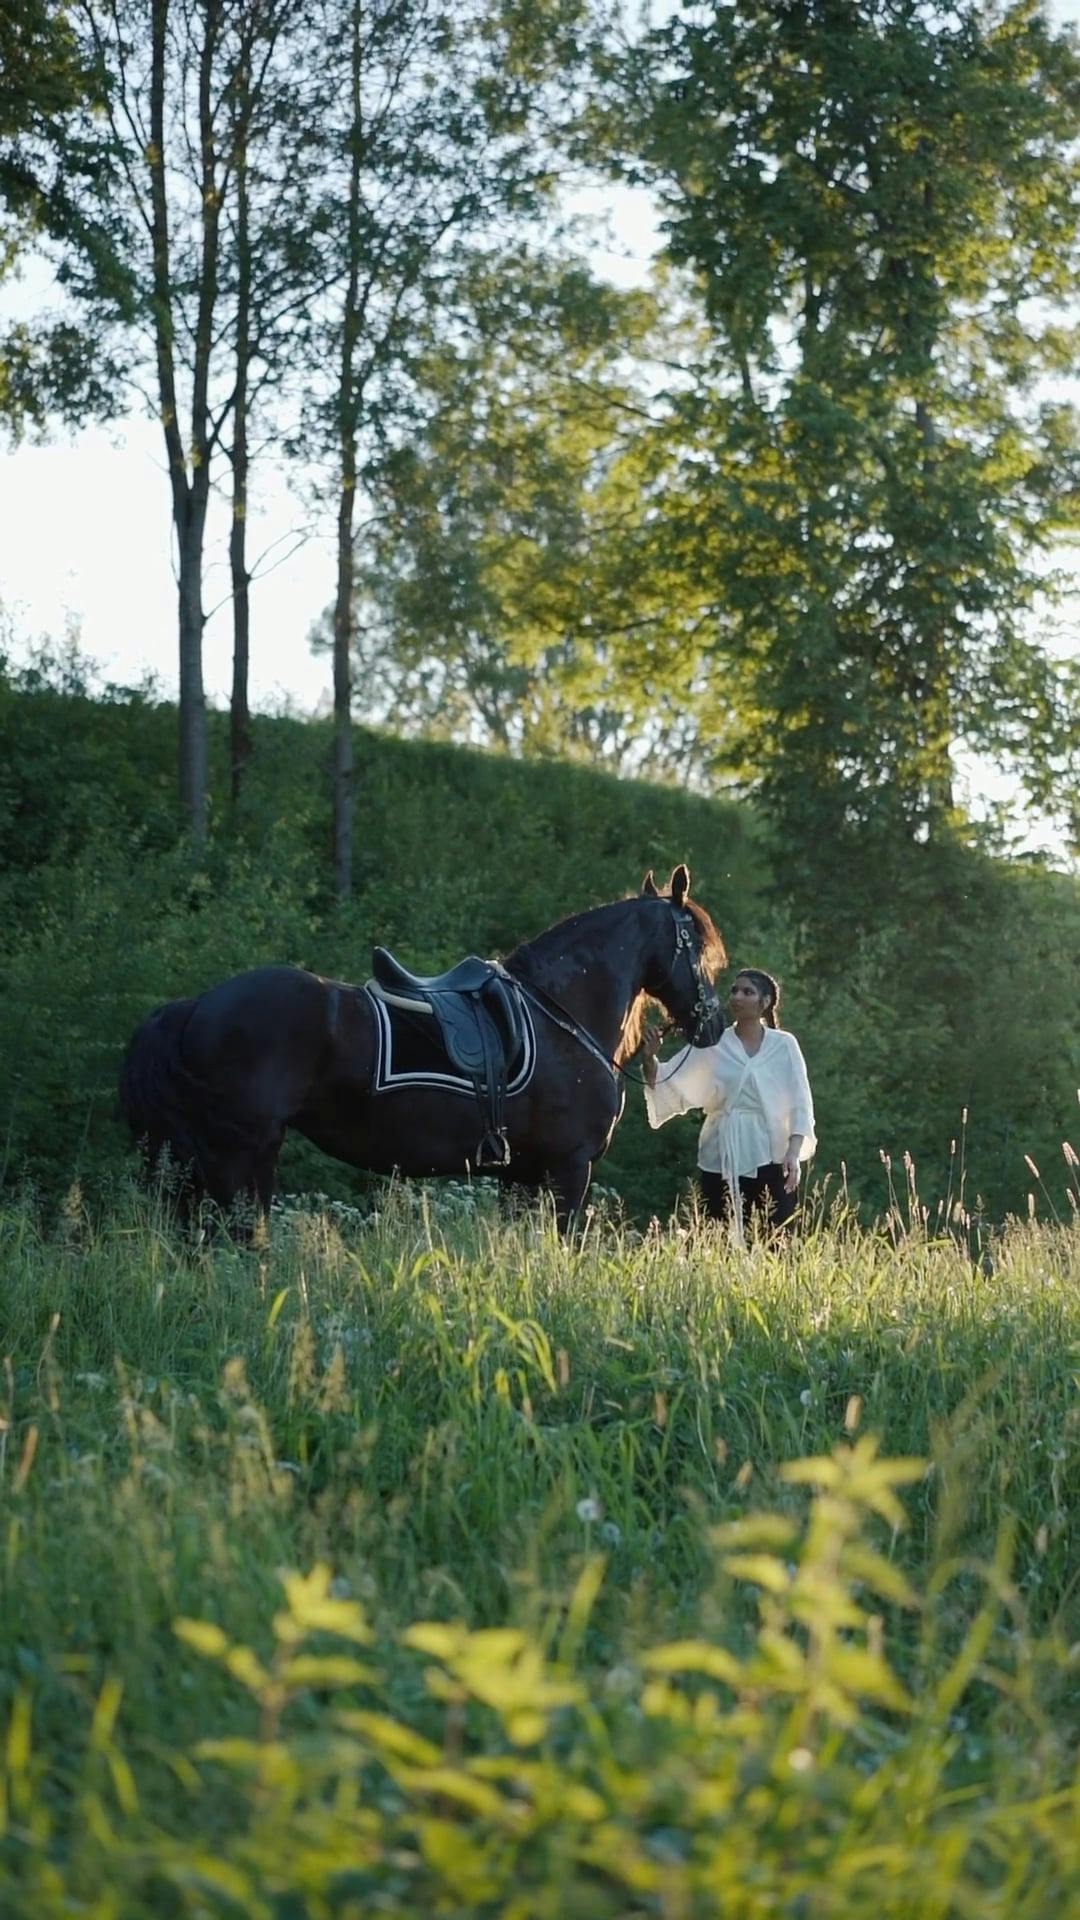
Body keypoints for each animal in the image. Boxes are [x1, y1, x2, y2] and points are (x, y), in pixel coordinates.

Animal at [119, 864, 726, 1230]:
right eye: (695, 946)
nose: (713, 1024)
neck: (561, 1015)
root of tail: (196, 1005)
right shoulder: (568, 1168)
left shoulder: (521, 1174)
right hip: (239, 1157)